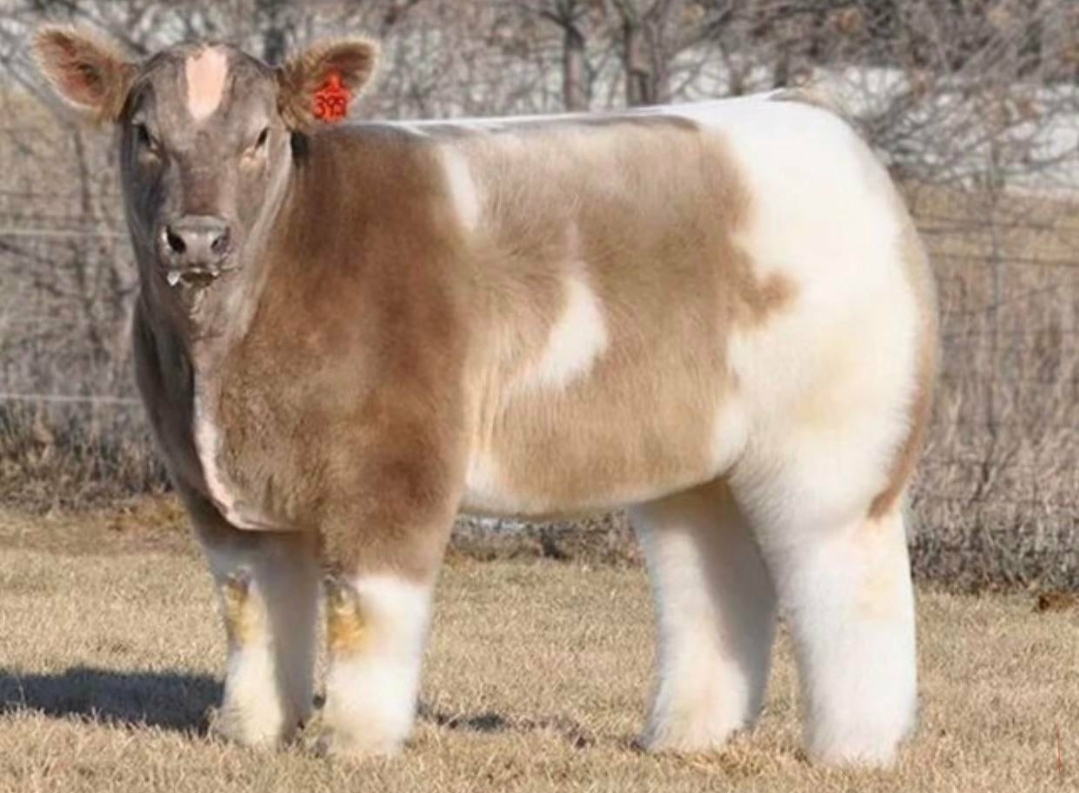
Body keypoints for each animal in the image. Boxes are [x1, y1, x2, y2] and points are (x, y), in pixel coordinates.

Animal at [32, 26, 937, 766]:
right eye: (144, 134)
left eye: (260, 136)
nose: (197, 238)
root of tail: (812, 115)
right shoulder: (213, 490)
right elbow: (252, 612)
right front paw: (251, 732)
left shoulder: (395, 466)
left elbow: (366, 612)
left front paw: (353, 742)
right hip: (696, 463)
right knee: (713, 581)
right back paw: (686, 736)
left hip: (835, 449)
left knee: (846, 584)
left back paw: (853, 748)